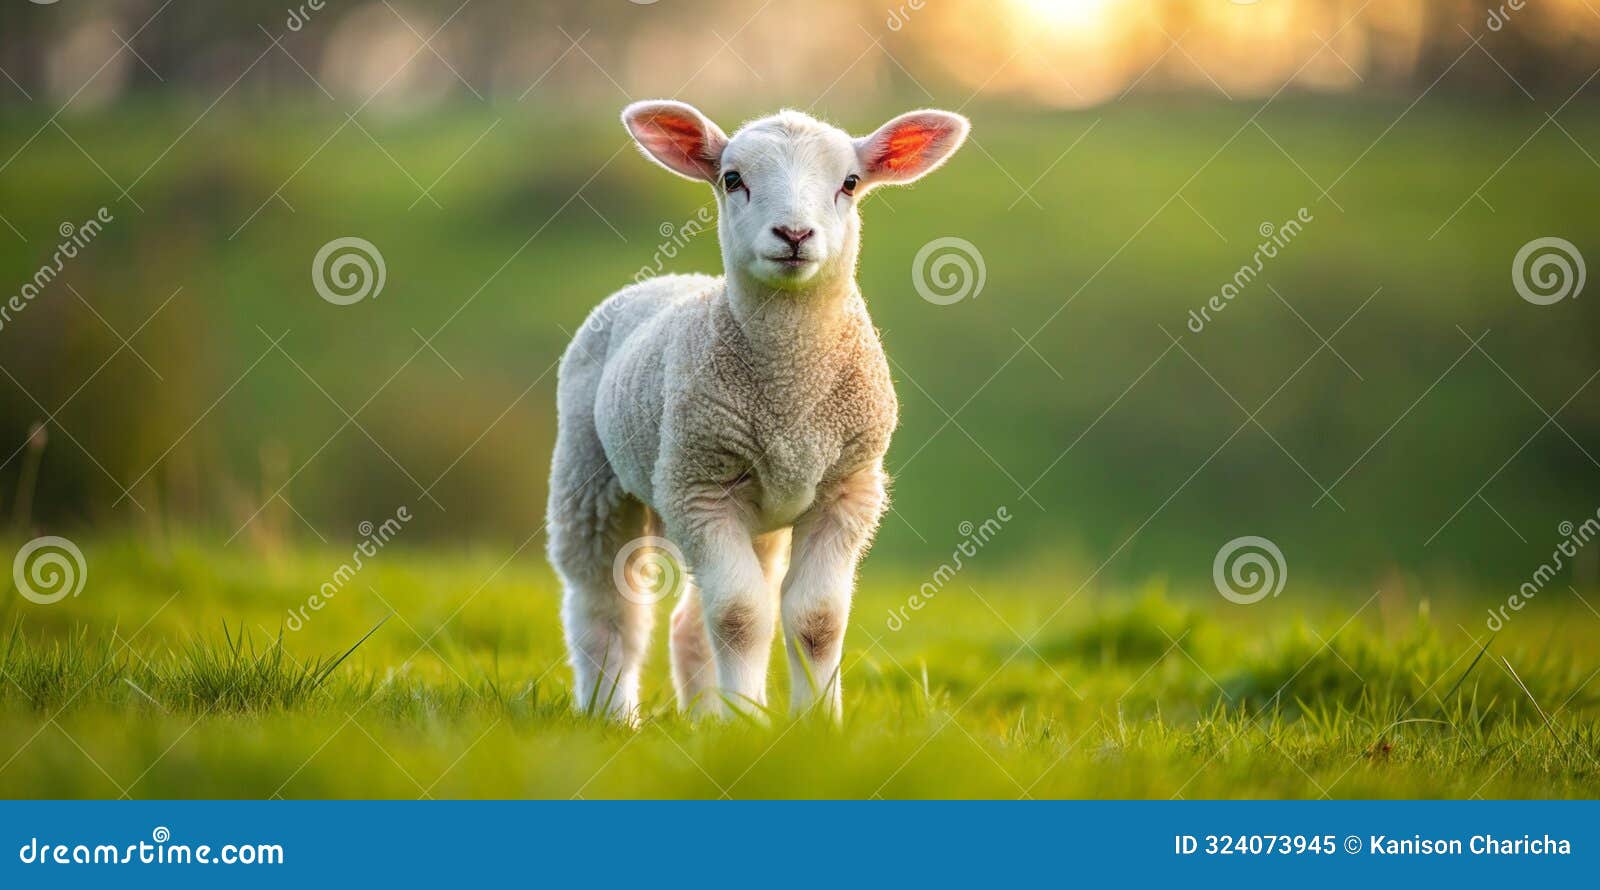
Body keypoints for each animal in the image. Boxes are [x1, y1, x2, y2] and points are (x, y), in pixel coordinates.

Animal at [546, 100, 969, 723]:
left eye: (850, 183)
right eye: (732, 178)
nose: (794, 234)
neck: (790, 388)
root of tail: (675, 279)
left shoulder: (847, 489)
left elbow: (816, 619)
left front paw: (811, 723)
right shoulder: (701, 486)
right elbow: (740, 616)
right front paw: (747, 721)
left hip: (757, 515)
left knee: (688, 624)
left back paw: (703, 718)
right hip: (591, 473)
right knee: (605, 610)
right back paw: (611, 714)